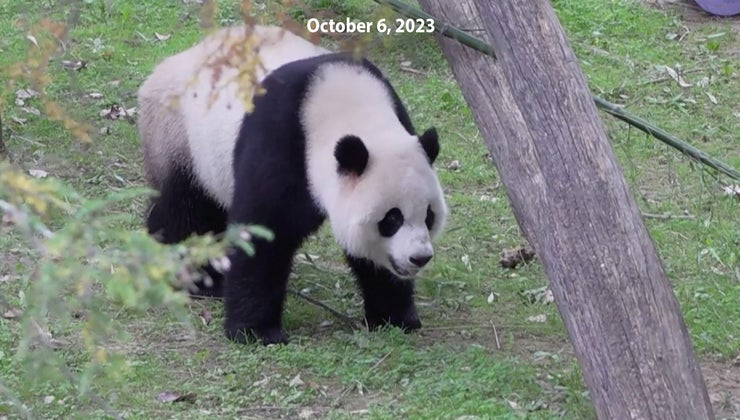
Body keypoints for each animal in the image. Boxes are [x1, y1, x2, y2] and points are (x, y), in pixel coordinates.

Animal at [139, 27, 448, 345]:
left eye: (429, 216)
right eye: (392, 219)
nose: (419, 257)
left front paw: (395, 316)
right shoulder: (281, 137)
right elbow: (263, 232)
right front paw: (257, 330)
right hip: (178, 136)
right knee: (184, 210)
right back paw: (186, 276)